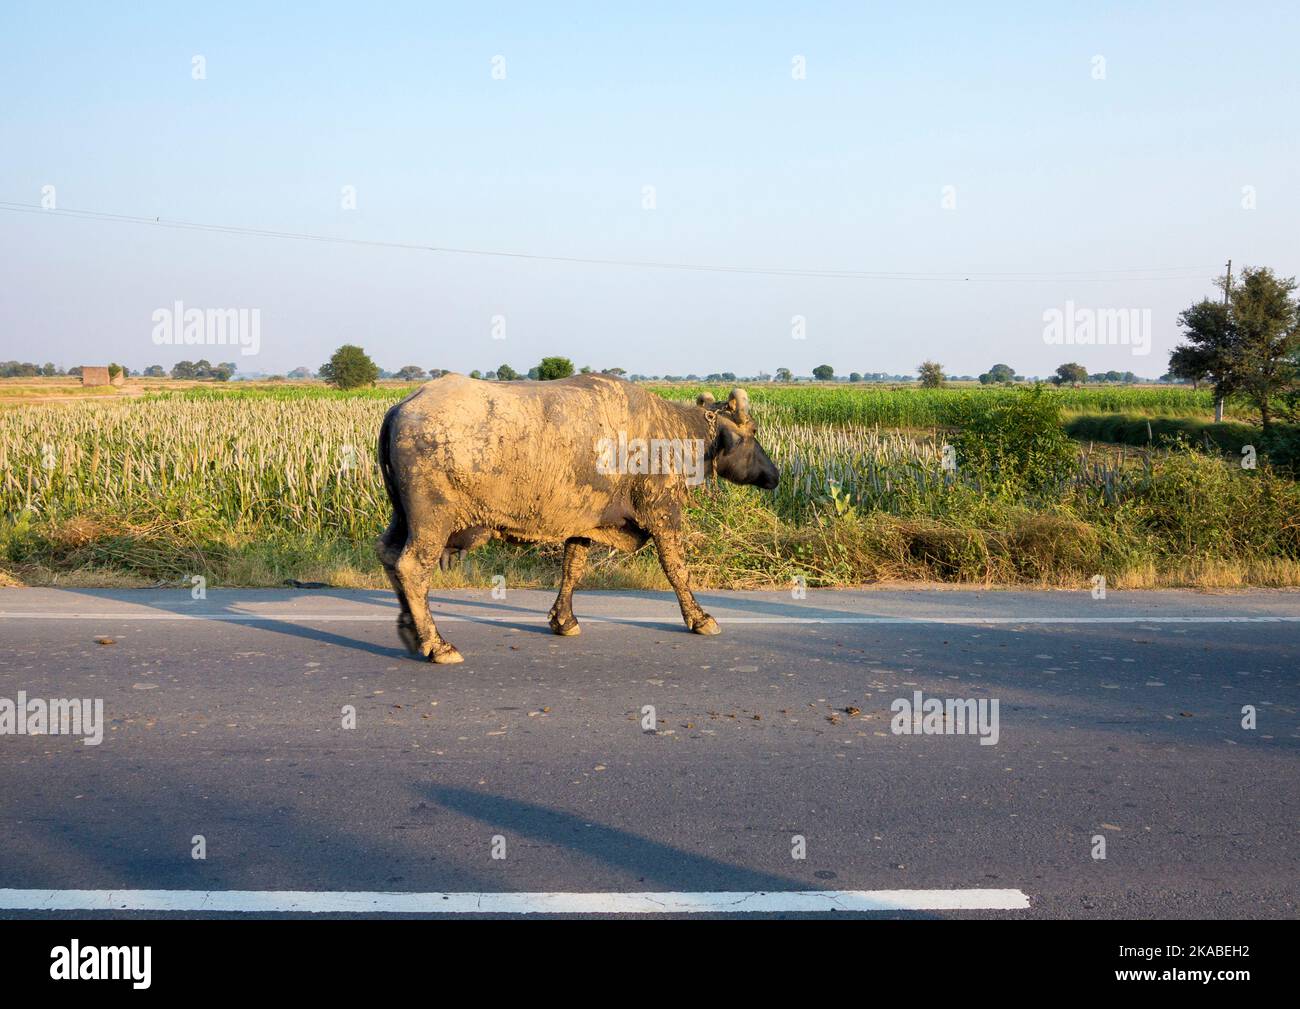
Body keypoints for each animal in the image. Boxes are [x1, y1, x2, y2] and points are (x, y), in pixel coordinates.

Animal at [377, 373, 779, 663]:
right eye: (753, 432)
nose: (774, 475)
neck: (670, 433)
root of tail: (403, 407)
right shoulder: (664, 516)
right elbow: (677, 570)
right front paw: (700, 618)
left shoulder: (586, 524)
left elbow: (572, 568)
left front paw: (564, 620)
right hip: (431, 523)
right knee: (412, 567)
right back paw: (437, 644)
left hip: (402, 517)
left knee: (388, 555)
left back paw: (411, 630)